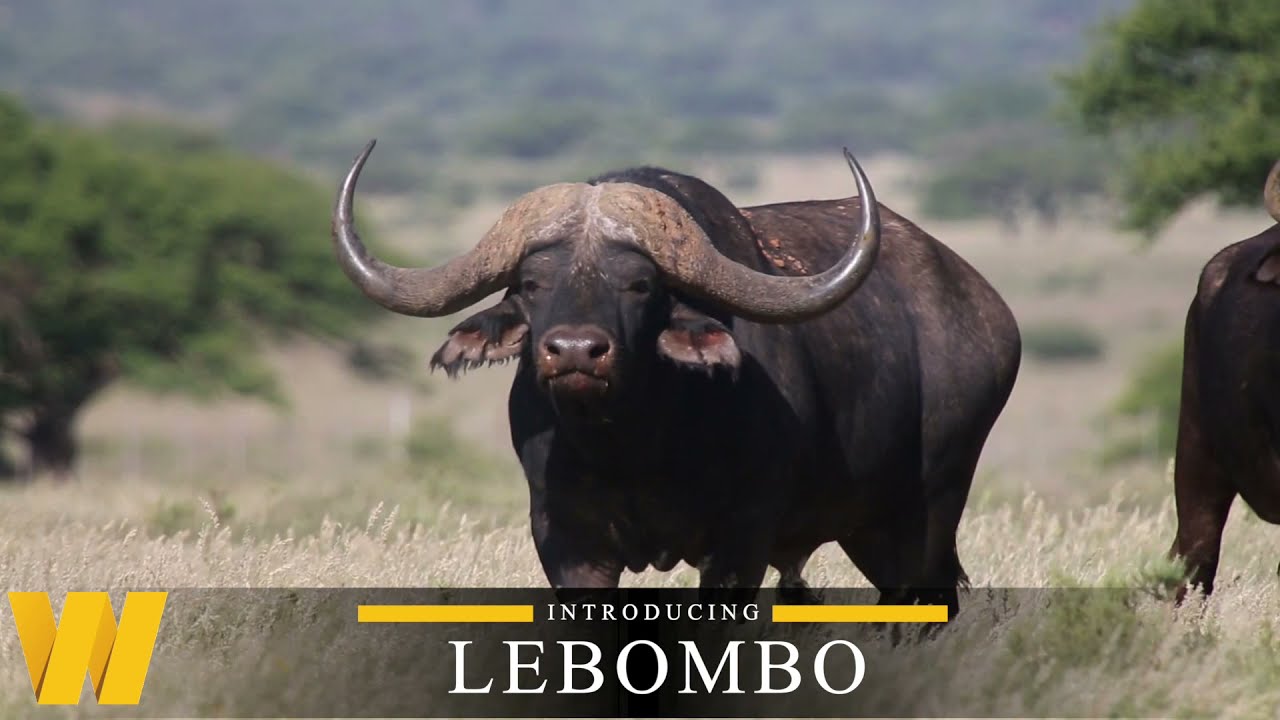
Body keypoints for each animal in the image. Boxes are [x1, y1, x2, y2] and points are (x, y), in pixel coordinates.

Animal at [330, 139, 1021, 616]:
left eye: (640, 284)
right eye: (530, 284)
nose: (576, 352)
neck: (634, 447)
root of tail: (989, 311)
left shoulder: (741, 541)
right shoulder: (567, 543)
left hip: (928, 513)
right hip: (868, 529)